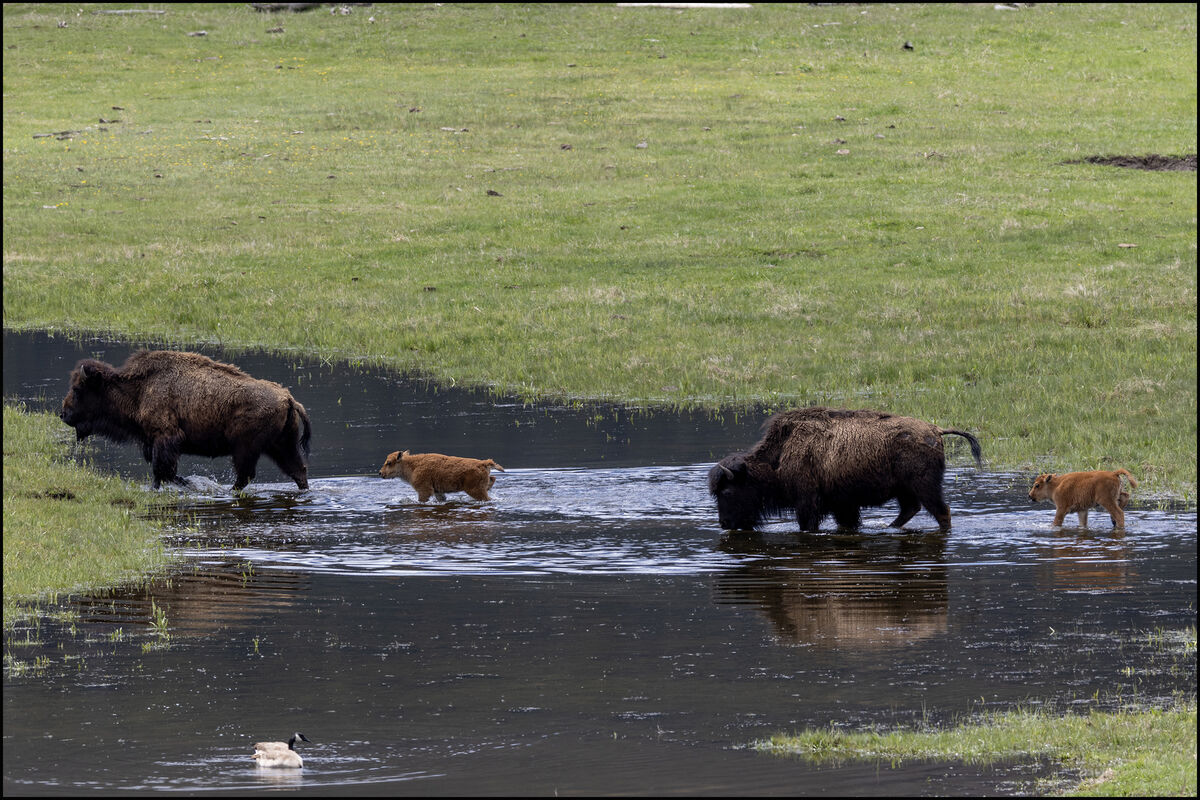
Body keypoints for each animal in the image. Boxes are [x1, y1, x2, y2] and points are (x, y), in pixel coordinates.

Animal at [59, 350, 311, 491]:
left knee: (244, 477)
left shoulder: (165, 438)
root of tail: (288, 398)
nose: (63, 414)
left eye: (78, 389)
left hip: (246, 449)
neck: (140, 389)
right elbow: (161, 473)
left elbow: (163, 472)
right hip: (280, 446)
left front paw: (187, 484)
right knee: (297, 470)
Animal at [708, 407, 982, 532]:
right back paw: (889, 528)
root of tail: (936, 430)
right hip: (906, 490)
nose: (724, 523)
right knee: (910, 509)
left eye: (728, 492)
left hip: (925, 486)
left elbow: (807, 525)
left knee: (941, 511)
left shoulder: (808, 503)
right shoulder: (843, 505)